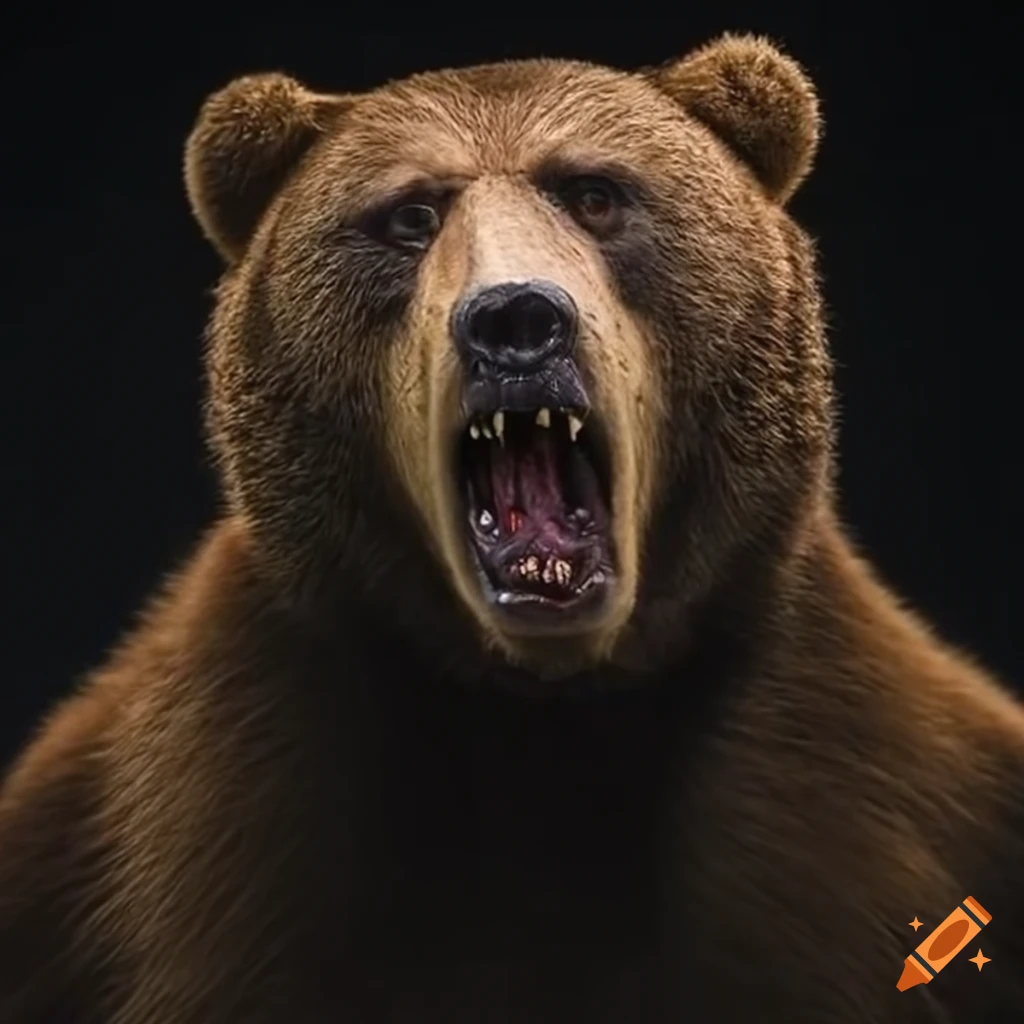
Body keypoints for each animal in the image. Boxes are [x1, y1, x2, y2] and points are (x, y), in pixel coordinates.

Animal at [1, 31, 1022, 1023]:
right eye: (412, 215)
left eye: (595, 194)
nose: (516, 320)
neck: (542, 710)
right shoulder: (219, 812)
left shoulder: (845, 787)